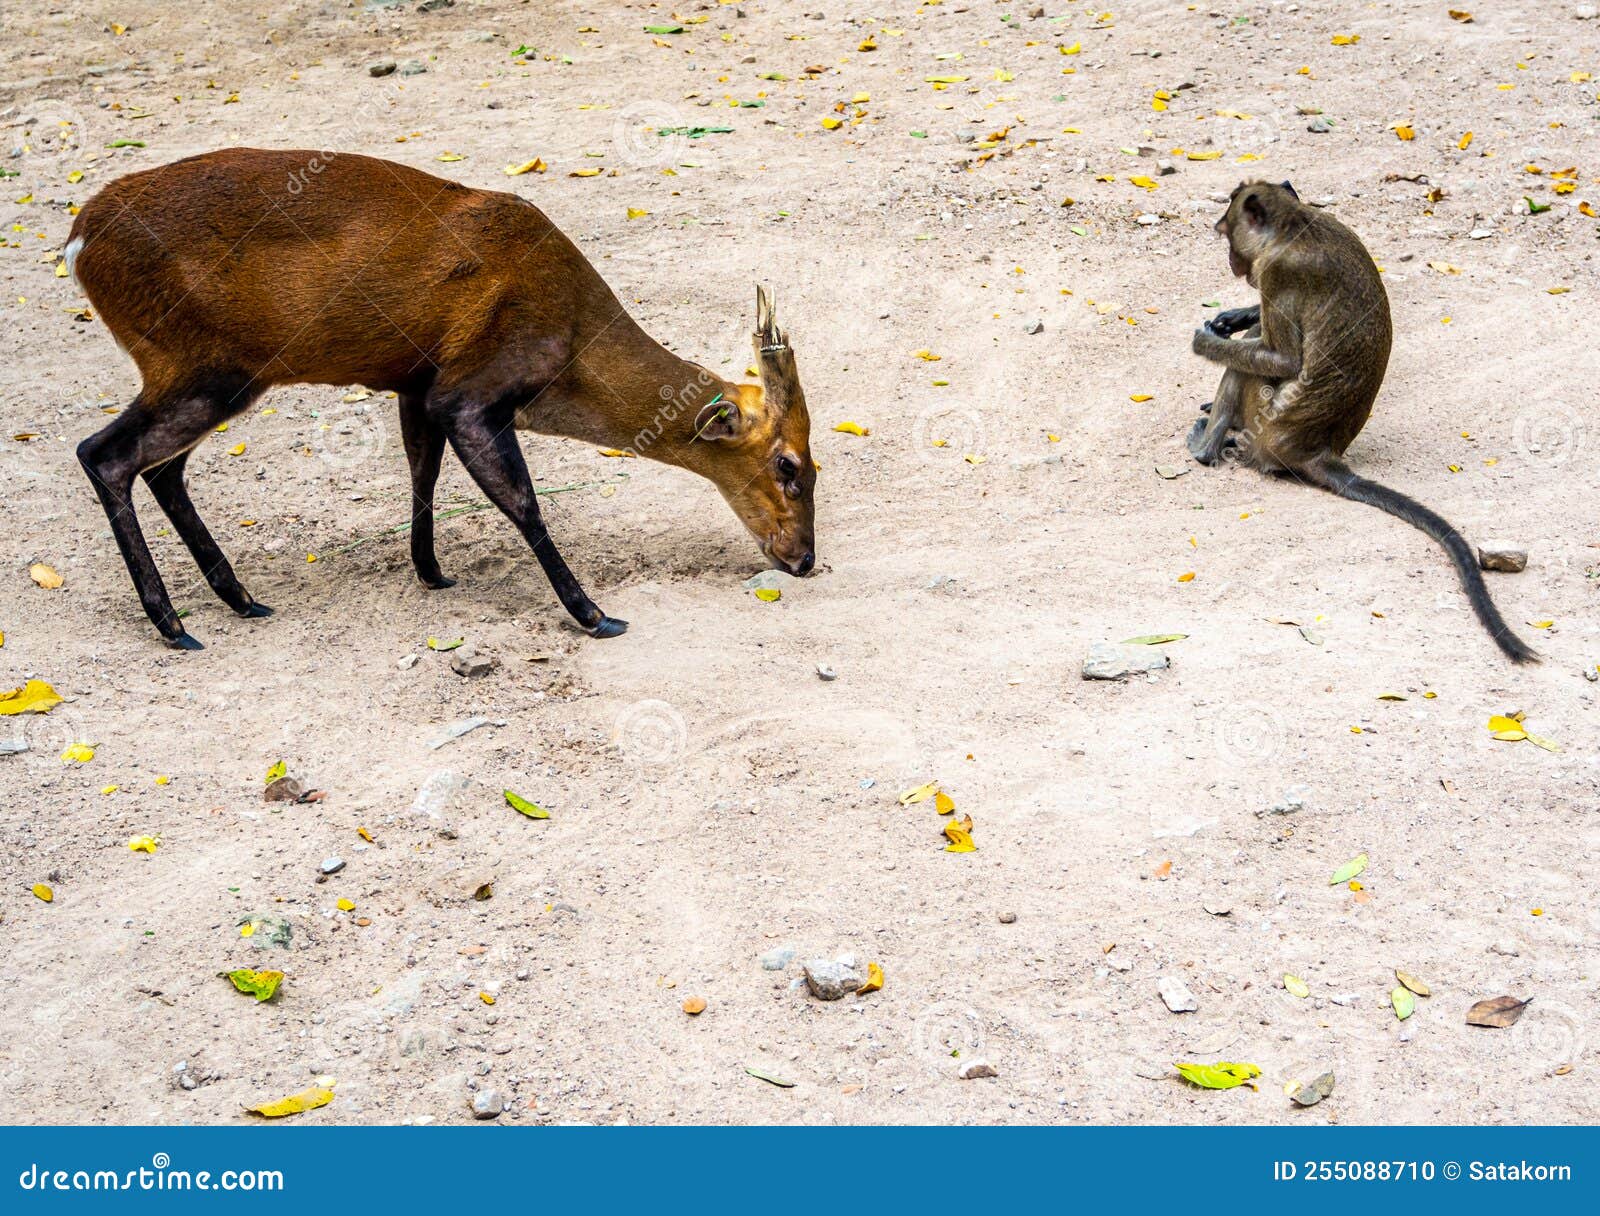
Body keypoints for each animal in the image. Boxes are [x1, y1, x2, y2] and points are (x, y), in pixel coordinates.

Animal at [66, 148, 816, 650]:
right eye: (789, 465)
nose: (804, 559)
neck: (572, 344)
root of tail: (79, 239)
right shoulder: (471, 390)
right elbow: (522, 501)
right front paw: (595, 614)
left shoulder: (418, 385)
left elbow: (421, 471)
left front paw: (430, 572)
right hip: (204, 364)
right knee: (105, 454)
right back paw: (173, 625)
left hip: (208, 374)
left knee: (160, 467)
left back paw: (239, 599)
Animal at [1188, 180, 1537, 664]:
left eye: (1226, 236)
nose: (1232, 263)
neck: (1295, 224)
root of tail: (1317, 449)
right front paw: (1234, 316)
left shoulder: (1278, 272)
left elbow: (1283, 359)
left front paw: (1205, 341)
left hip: (1267, 421)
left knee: (1255, 363)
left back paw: (1205, 448)